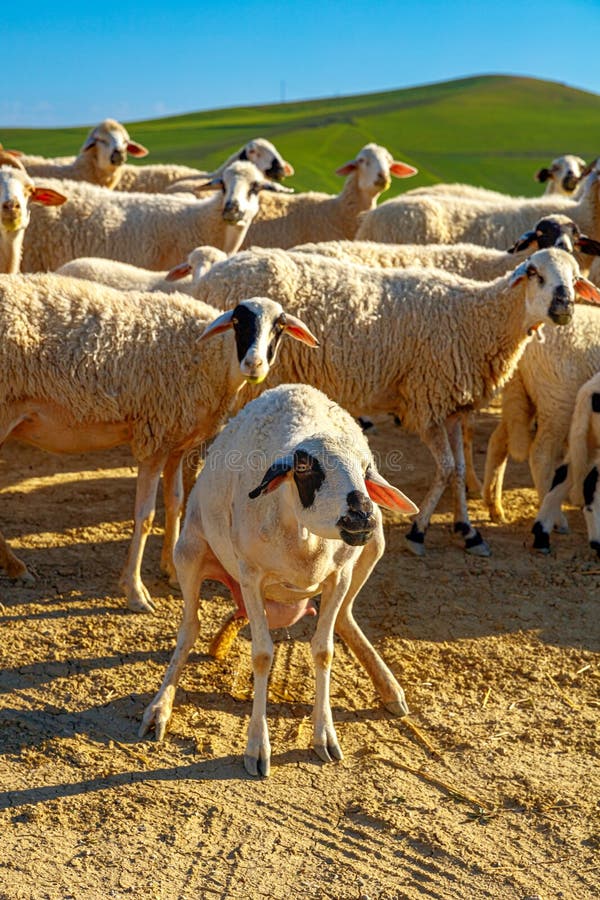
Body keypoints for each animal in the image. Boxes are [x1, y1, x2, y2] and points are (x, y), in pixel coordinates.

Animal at [0, 274, 318, 607]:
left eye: (279, 327)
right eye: (237, 322)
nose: (254, 364)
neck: (212, 359)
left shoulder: (175, 441)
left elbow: (176, 502)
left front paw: (173, 572)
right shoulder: (154, 436)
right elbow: (145, 515)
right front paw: (135, 590)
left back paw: (14, 567)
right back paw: (17, 567)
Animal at [140, 383, 418, 775]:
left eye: (367, 469)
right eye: (304, 467)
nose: (361, 515)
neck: (304, 541)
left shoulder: (339, 576)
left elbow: (324, 651)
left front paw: (324, 735)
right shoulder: (251, 578)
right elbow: (261, 656)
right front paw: (257, 746)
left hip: (374, 546)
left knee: (345, 618)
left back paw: (389, 688)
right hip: (189, 552)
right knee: (190, 629)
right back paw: (159, 707)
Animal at [483, 303, 600, 526]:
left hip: (522, 395)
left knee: (498, 440)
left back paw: (494, 506)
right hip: (558, 400)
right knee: (540, 454)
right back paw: (554, 517)